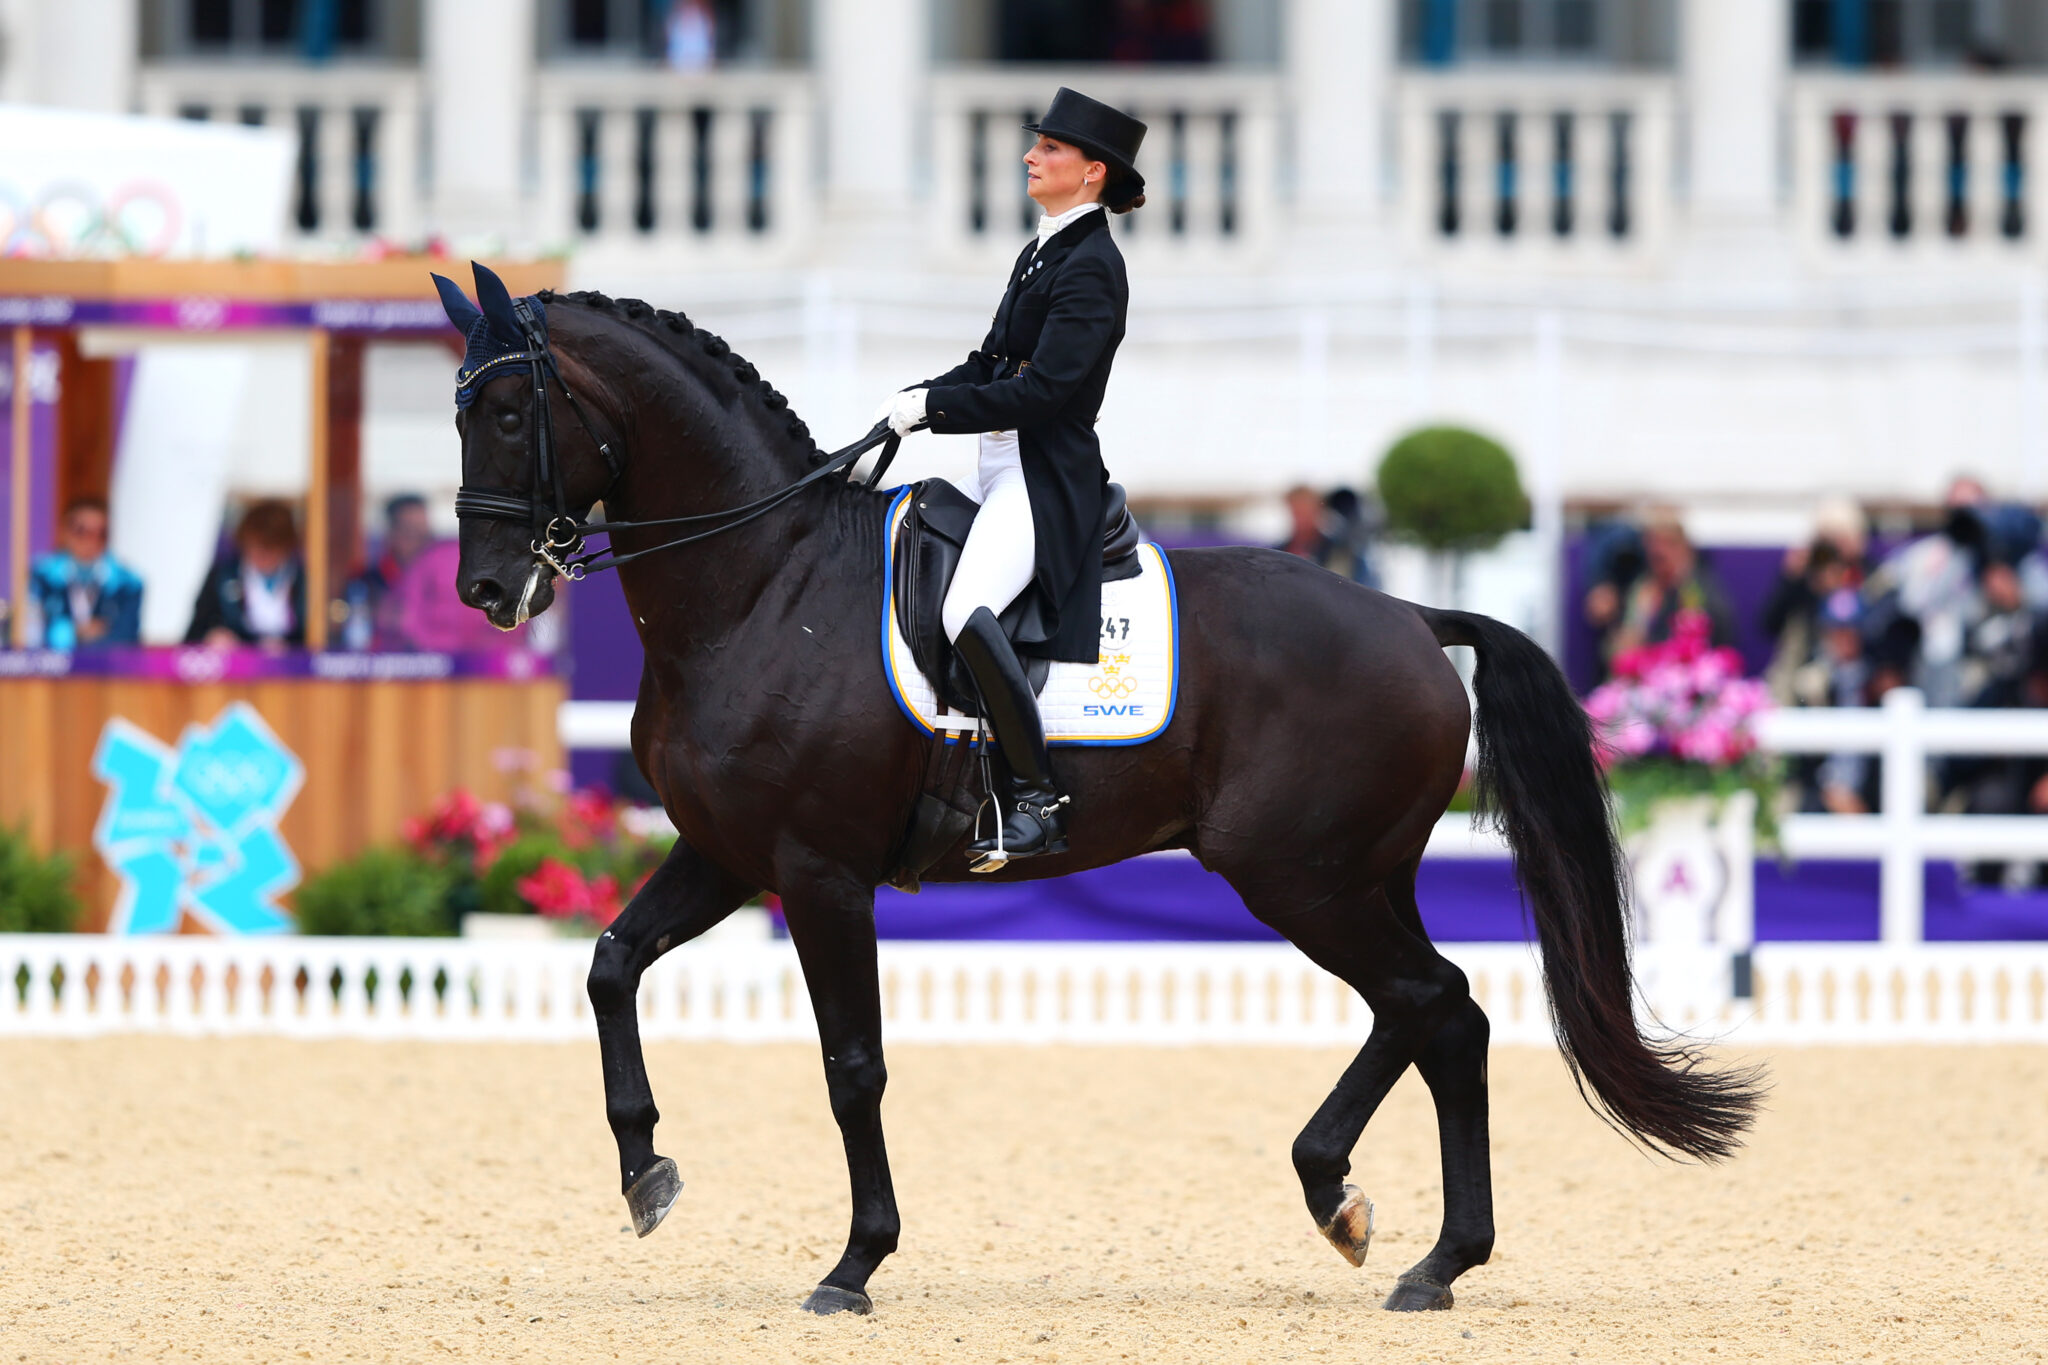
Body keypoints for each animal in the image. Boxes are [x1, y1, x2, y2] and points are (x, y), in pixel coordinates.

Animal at [435, 265, 1762, 1317]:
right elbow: (609, 965)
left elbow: (851, 1064)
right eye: (458, 409)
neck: (765, 583)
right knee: (1442, 1015)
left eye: (507, 409)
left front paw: (854, 1265)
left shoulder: (818, 873)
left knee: (1427, 1002)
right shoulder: (726, 853)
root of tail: (1409, 615)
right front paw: (644, 1174)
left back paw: (1385, 1225)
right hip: (1359, 873)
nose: (489, 592)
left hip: (1297, 875)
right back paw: (1401, 1238)